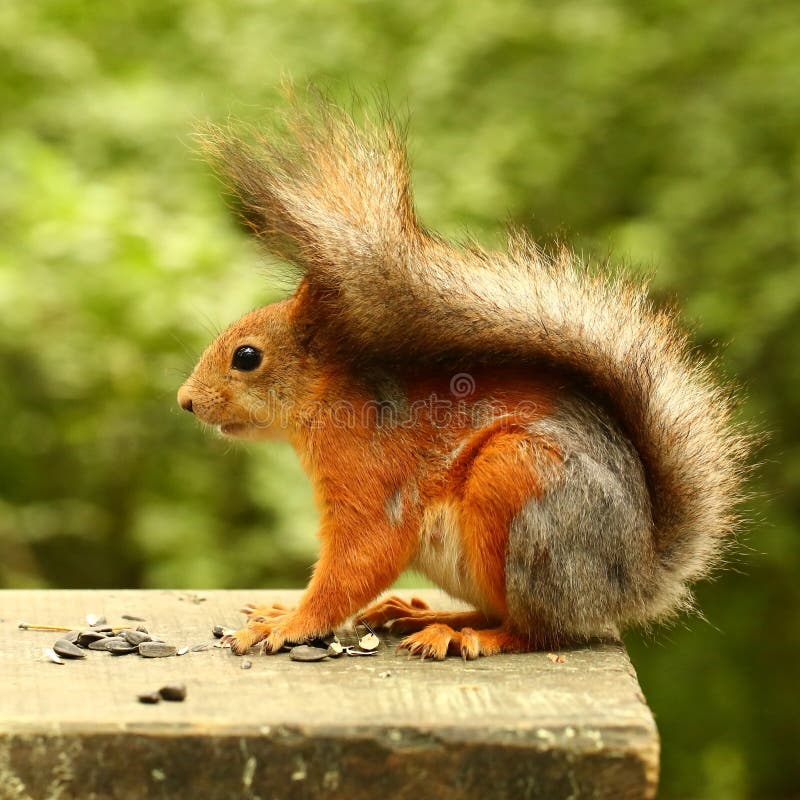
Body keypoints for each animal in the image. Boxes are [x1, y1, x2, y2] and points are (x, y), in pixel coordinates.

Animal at [177, 94, 750, 660]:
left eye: (246, 356)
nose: (186, 401)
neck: (332, 398)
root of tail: (631, 582)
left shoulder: (372, 477)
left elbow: (363, 555)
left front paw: (289, 622)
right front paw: (279, 609)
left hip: (521, 492)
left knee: (538, 630)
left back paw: (464, 635)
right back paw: (424, 615)